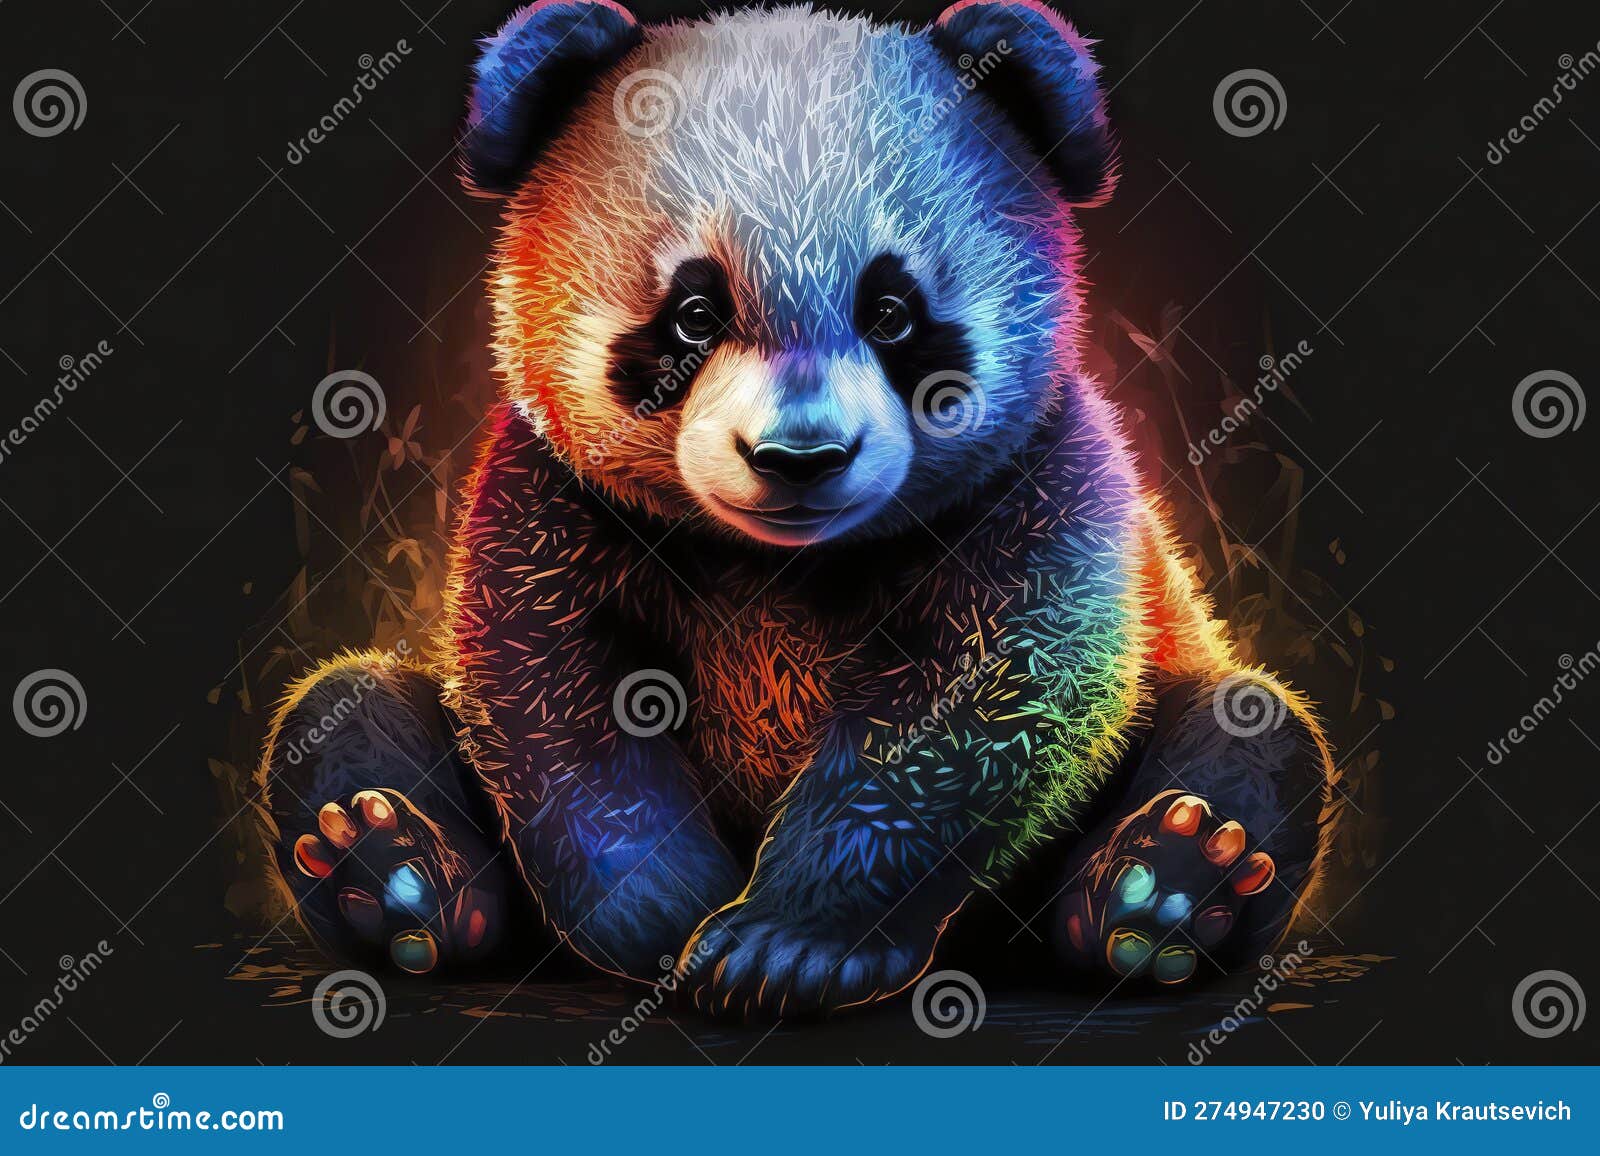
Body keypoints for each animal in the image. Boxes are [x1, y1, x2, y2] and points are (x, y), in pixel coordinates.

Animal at [261, 0, 1335, 1018]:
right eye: (695, 313)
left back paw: (1163, 890)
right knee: (342, 707)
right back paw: (396, 872)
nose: (799, 458)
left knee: (1251, 730)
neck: (781, 558)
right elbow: (553, 698)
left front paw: (787, 945)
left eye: (891, 312)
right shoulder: (556, 497)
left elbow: (997, 694)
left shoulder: (1040, 481)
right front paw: (665, 922)